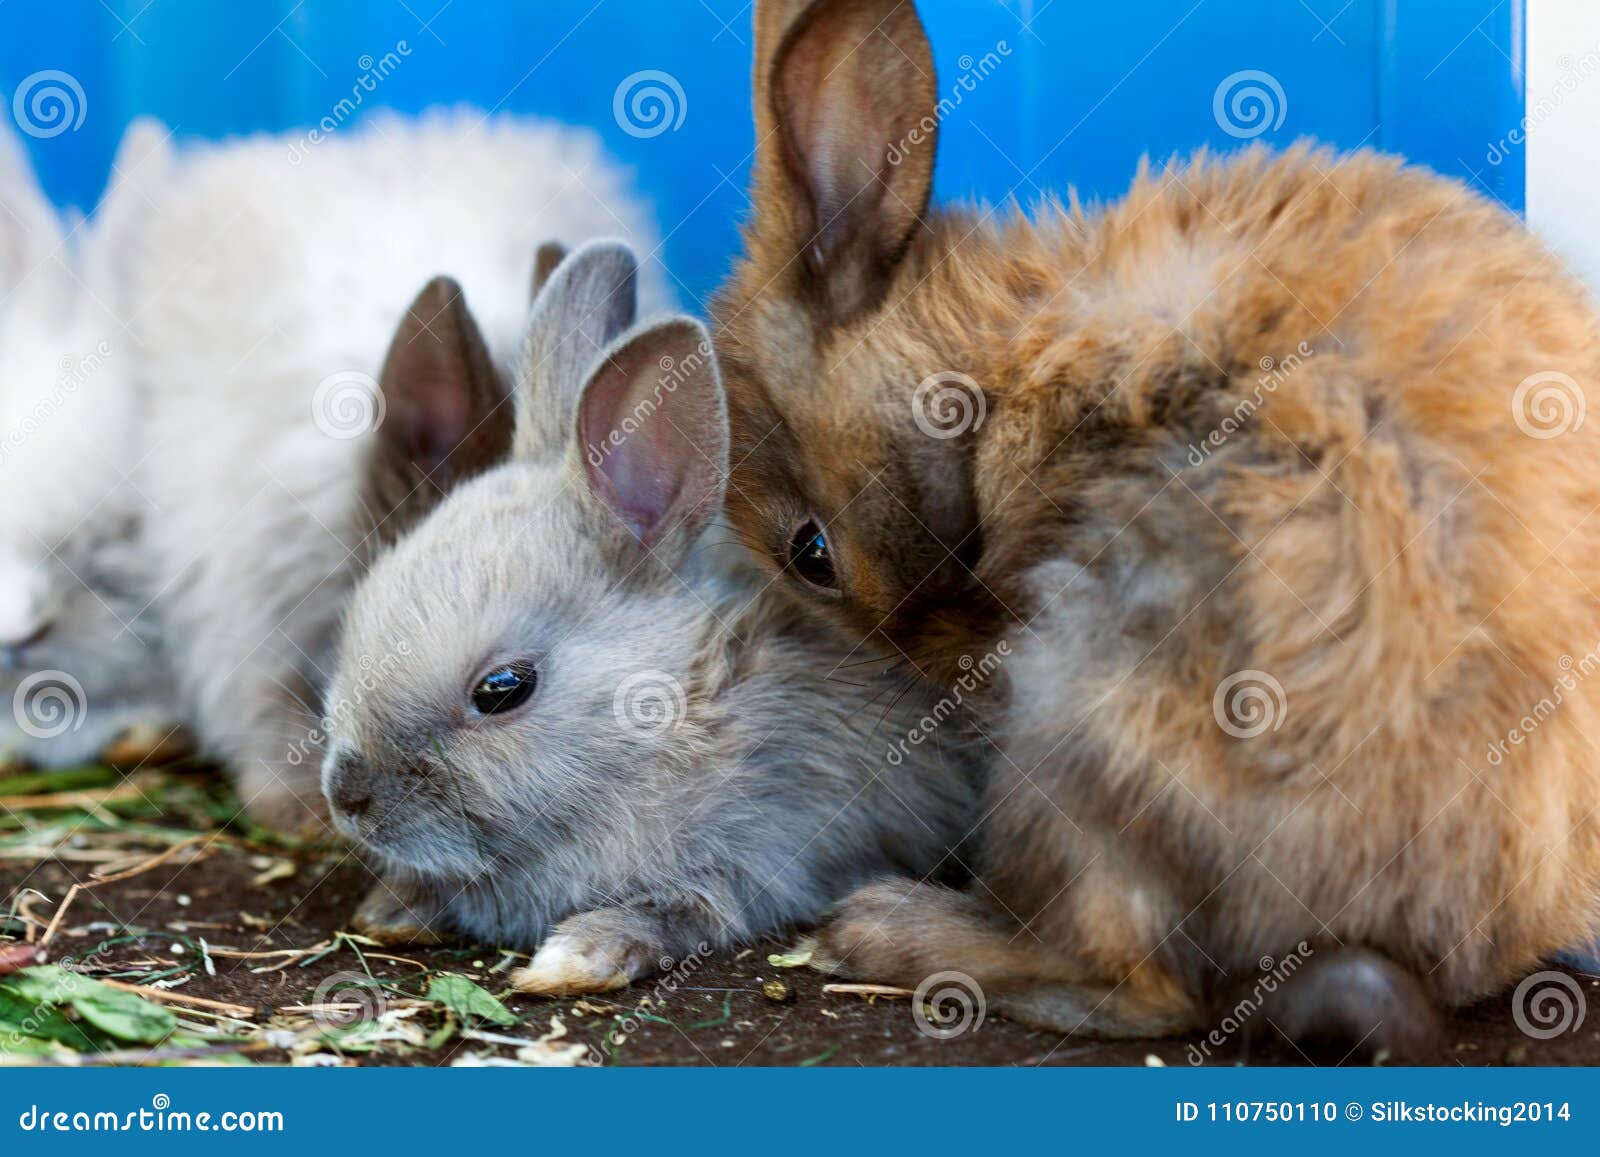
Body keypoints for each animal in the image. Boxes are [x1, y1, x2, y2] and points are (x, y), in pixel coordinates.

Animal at [319, 240, 978, 994]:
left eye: (503, 688)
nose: (348, 796)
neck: (676, 714)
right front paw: (393, 908)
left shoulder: (758, 857)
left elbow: (686, 910)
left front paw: (575, 958)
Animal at [707, 0, 1600, 1050]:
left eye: (810, 554)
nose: (946, 667)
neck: (989, 364)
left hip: (1092, 708)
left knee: (1142, 988)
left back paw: (886, 929)